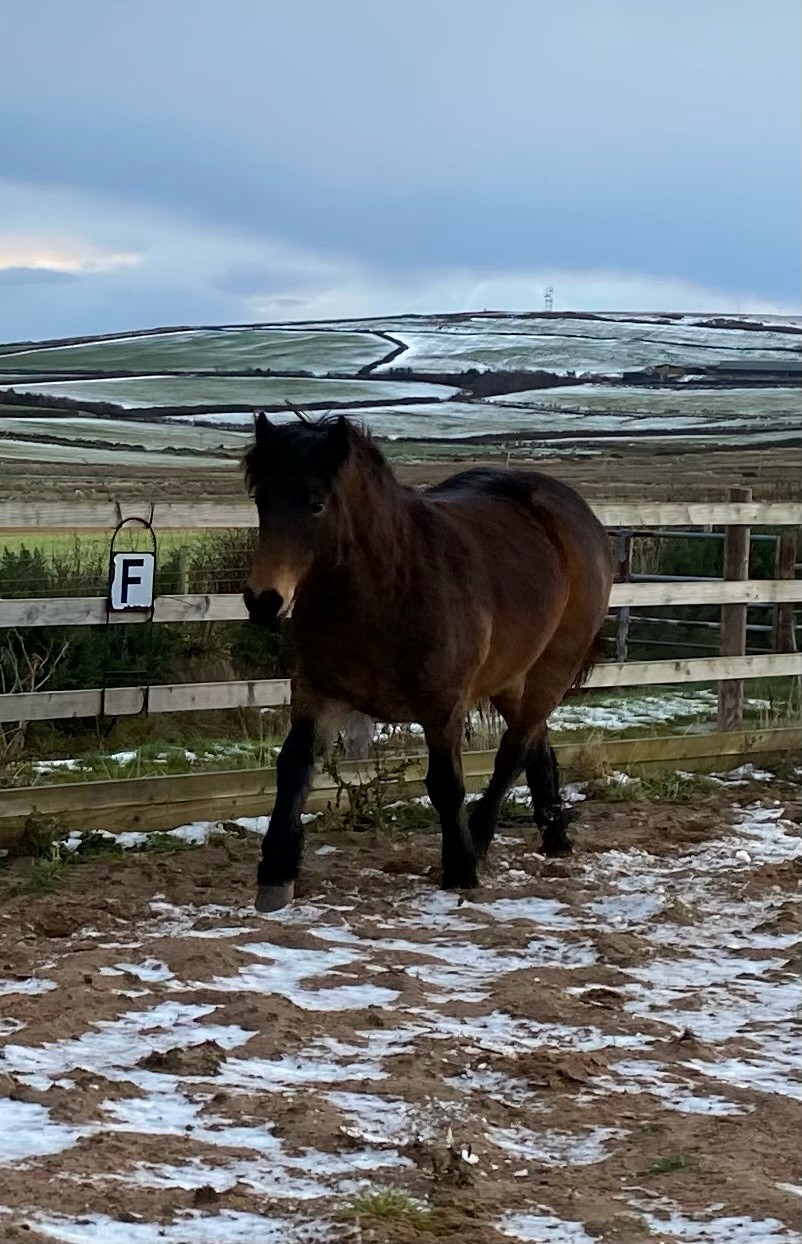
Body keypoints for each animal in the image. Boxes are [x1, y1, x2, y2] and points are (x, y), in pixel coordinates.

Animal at [243, 413, 612, 912]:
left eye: (316, 503)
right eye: (262, 499)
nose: (263, 601)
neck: (385, 590)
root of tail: (574, 509)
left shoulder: (443, 706)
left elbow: (445, 784)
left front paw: (460, 869)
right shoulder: (319, 693)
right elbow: (294, 768)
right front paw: (276, 875)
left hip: (553, 668)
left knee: (513, 751)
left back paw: (480, 840)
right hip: (509, 676)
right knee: (537, 740)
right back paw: (554, 831)